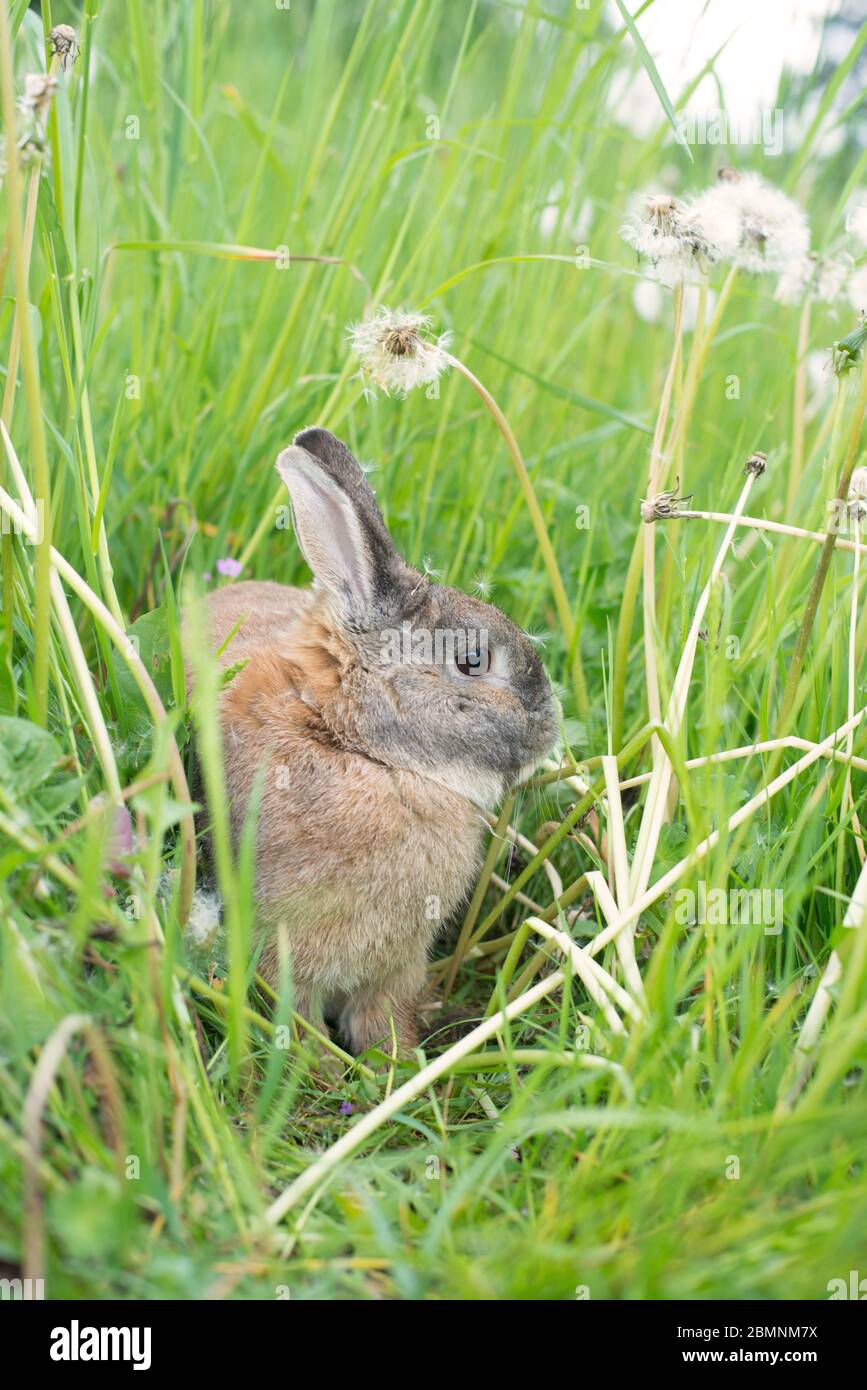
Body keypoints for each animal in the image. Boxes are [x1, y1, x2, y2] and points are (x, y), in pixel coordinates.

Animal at [191, 427, 559, 1055]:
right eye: (471, 660)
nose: (551, 725)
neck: (358, 748)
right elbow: (303, 1026)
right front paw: (323, 1067)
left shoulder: (397, 968)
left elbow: (384, 1019)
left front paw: (398, 1062)